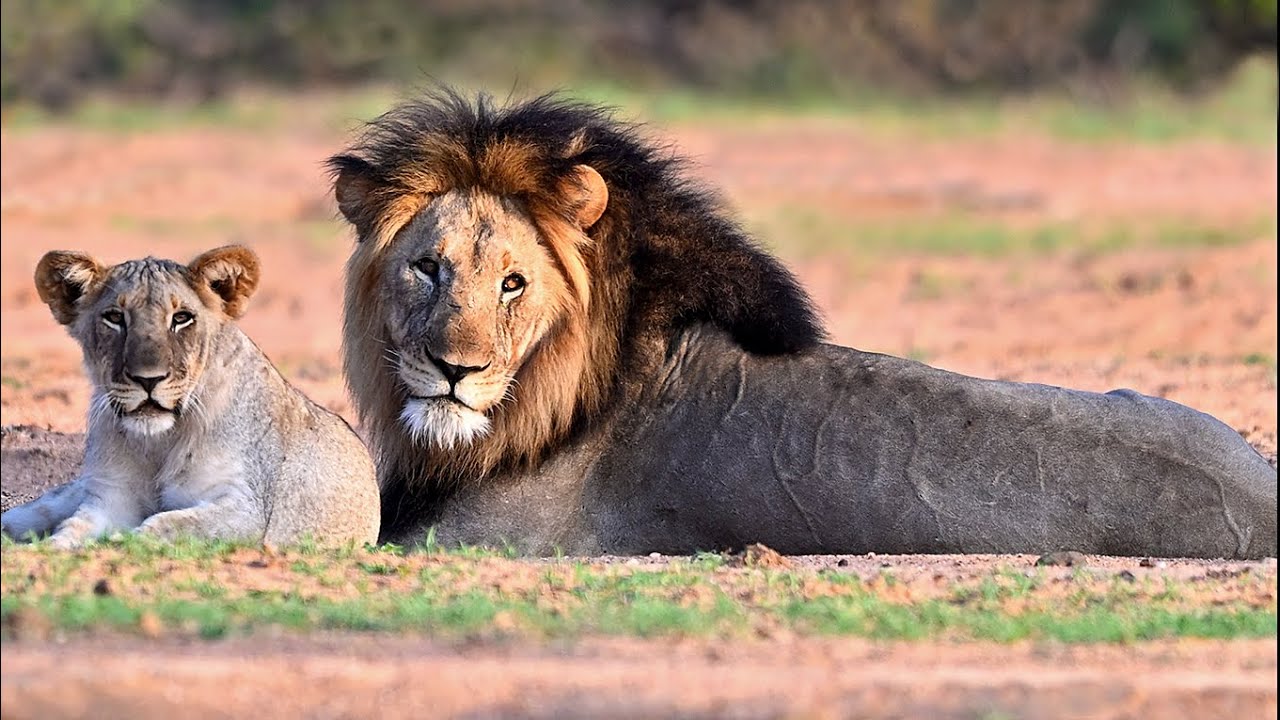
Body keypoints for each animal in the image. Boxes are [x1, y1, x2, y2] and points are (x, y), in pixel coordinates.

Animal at [0, 246, 380, 548]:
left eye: (181, 318)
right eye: (114, 318)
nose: (148, 379)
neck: (160, 441)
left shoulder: (248, 509)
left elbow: (168, 524)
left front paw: (122, 541)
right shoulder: (109, 495)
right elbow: (73, 528)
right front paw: (54, 548)